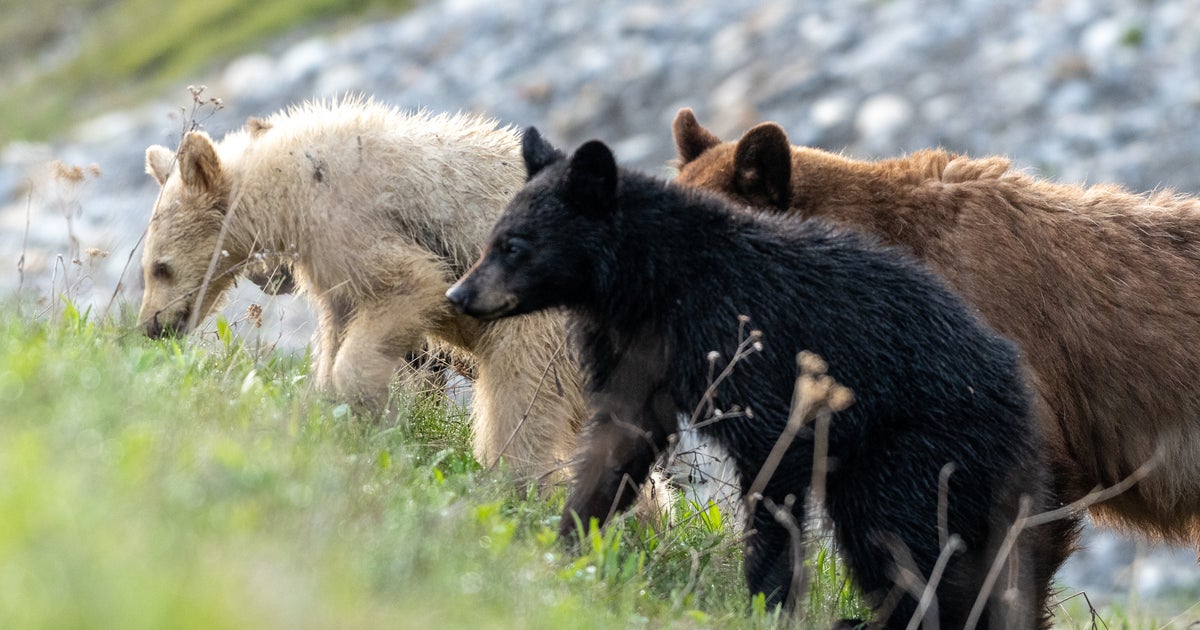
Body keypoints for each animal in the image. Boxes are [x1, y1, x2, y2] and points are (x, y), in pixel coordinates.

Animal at [136, 97, 587, 484]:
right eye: (147, 269)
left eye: (161, 267)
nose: (152, 326)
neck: (290, 178)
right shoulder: (331, 265)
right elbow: (338, 327)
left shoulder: (350, 219)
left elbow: (411, 284)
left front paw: (378, 411)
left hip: (542, 319)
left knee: (519, 390)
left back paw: (515, 481)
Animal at [445, 129, 1074, 628]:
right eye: (494, 236)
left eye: (513, 245)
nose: (459, 294)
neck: (657, 283)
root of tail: (1021, 397)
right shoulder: (640, 354)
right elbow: (617, 443)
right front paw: (565, 541)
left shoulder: (751, 349)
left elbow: (775, 468)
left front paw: (765, 601)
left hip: (916, 448)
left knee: (901, 542)